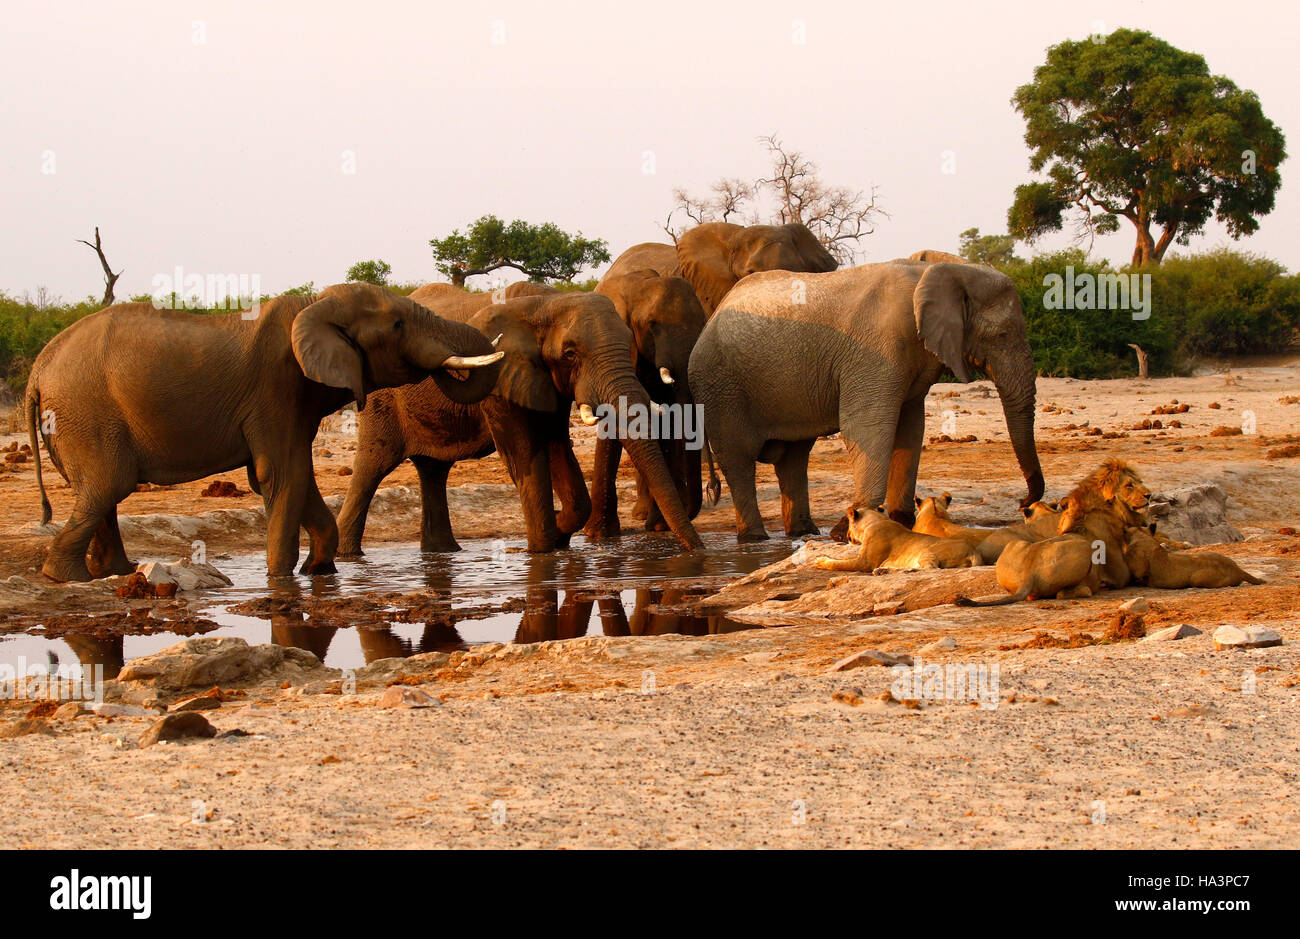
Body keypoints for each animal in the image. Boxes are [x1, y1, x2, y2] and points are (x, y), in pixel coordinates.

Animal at [814, 506, 982, 571]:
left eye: (848, 523)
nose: (848, 537)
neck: (875, 521)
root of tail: (974, 552)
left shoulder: (865, 563)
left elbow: (839, 564)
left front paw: (821, 561)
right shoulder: (862, 556)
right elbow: (843, 558)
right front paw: (823, 556)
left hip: (928, 551)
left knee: (930, 568)